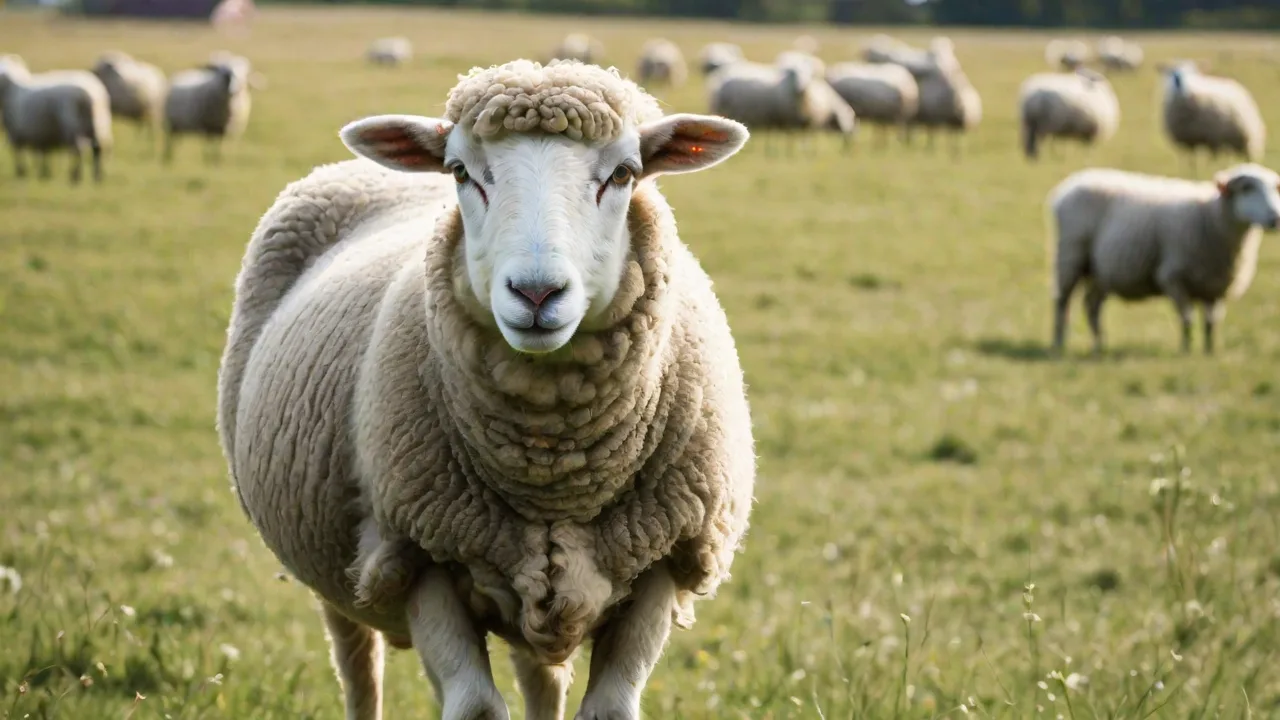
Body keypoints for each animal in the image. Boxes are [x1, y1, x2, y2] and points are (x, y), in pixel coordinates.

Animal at [0, 54, 113, 184]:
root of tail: (90, 94)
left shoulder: (17, 133)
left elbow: (20, 155)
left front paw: (22, 173)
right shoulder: (42, 133)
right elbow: (43, 153)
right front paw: (44, 174)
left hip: (73, 126)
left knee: (78, 150)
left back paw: (75, 176)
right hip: (97, 125)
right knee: (97, 149)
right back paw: (97, 177)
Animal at [216, 58, 757, 720]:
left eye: (625, 173)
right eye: (460, 171)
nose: (536, 293)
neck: (554, 468)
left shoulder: (666, 560)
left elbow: (606, 708)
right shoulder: (418, 553)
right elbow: (474, 707)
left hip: (545, 582)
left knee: (540, 679)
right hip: (336, 561)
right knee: (358, 666)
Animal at [1048, 163, 1280, 355]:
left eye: (1274, 188)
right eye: (1247, 188)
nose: (1275, 218)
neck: (1211, 218)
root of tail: (1072, 184)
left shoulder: (1214, 286)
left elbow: (1210, 323)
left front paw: (1209, 351)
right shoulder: (1171, 277)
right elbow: (1187, 318)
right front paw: (1186, 351)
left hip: (1101, 271)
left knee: (1092, 306)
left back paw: (1100, 346)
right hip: (1070, 256)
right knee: (1062, 302)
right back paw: (1059, 344)